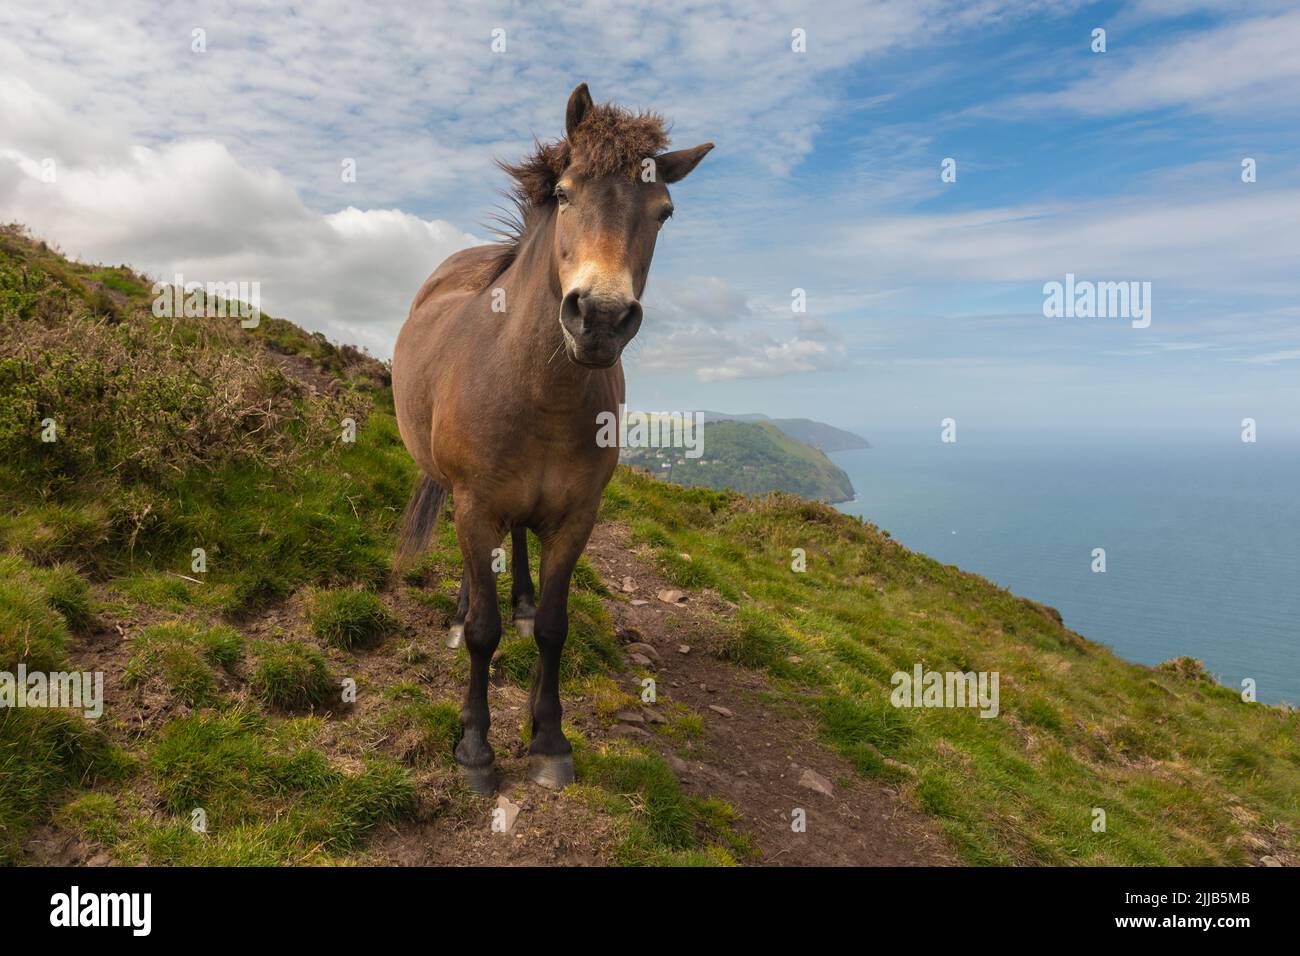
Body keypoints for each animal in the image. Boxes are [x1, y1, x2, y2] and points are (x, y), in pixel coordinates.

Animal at [391, 83, 713, 793]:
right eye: (564, 193)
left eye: (666, 212)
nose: (601, 316)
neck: (539, 393)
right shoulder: (474, 505)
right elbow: (484, 633)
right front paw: (476, 746)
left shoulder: (576, 516)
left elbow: (555, 629)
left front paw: (547, 740)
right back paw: (463, 612)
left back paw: (521, 600)